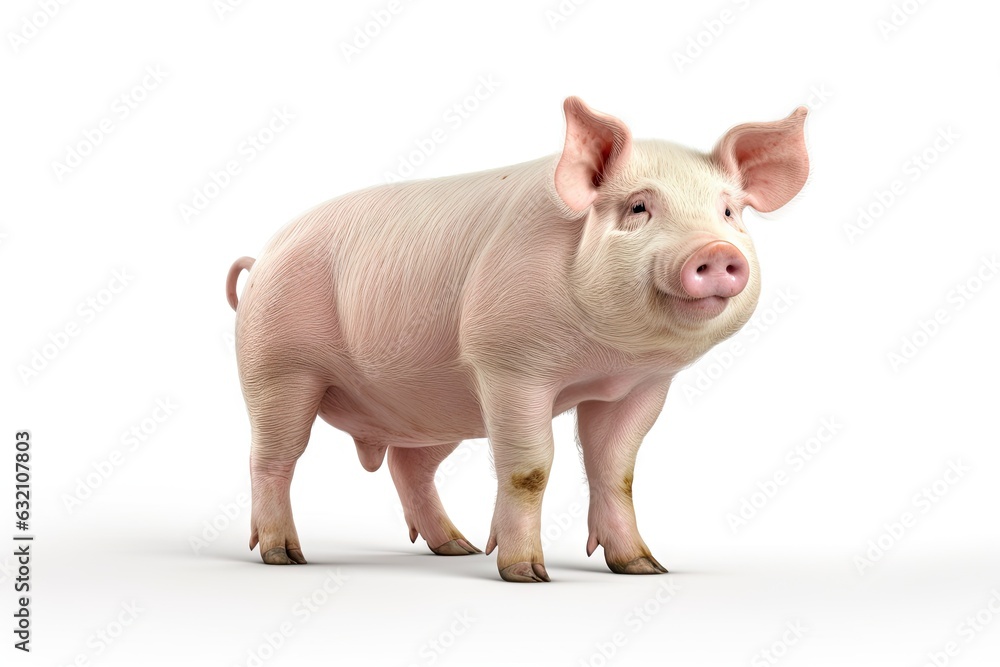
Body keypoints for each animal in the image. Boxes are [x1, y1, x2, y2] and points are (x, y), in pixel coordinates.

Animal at [226, 97, 809, 582]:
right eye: (639, 207)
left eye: (728, 211)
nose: (715, 251)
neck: (604, 358)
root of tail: (264, 255)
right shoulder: (508, 365)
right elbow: (530, 469)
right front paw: (527, 575)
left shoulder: (640, 387)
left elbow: (616, 471)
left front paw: (644, 568)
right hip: (276, 365)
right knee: (271, 457)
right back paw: (284, 556)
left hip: (433, 404)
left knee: (407, 466)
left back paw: (456, 548)